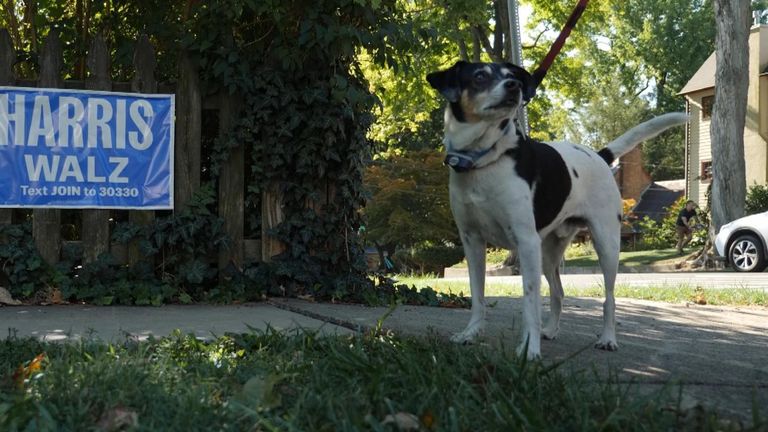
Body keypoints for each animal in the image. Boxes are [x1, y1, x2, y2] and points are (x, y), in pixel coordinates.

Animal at [426, 60, 688, 358]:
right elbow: (478, 294)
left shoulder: (525, 242)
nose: (514, 87)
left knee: (609, 298)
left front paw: (529, 349)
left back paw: (608, 338)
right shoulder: (472, 242)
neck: (484, 161)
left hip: (606, 244)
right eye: (479, 76)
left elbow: (530, 301)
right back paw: (550, 330)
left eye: (511, 76)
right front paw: (471, 333)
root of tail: (600, 157)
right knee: (558, 291)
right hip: (549, 254)